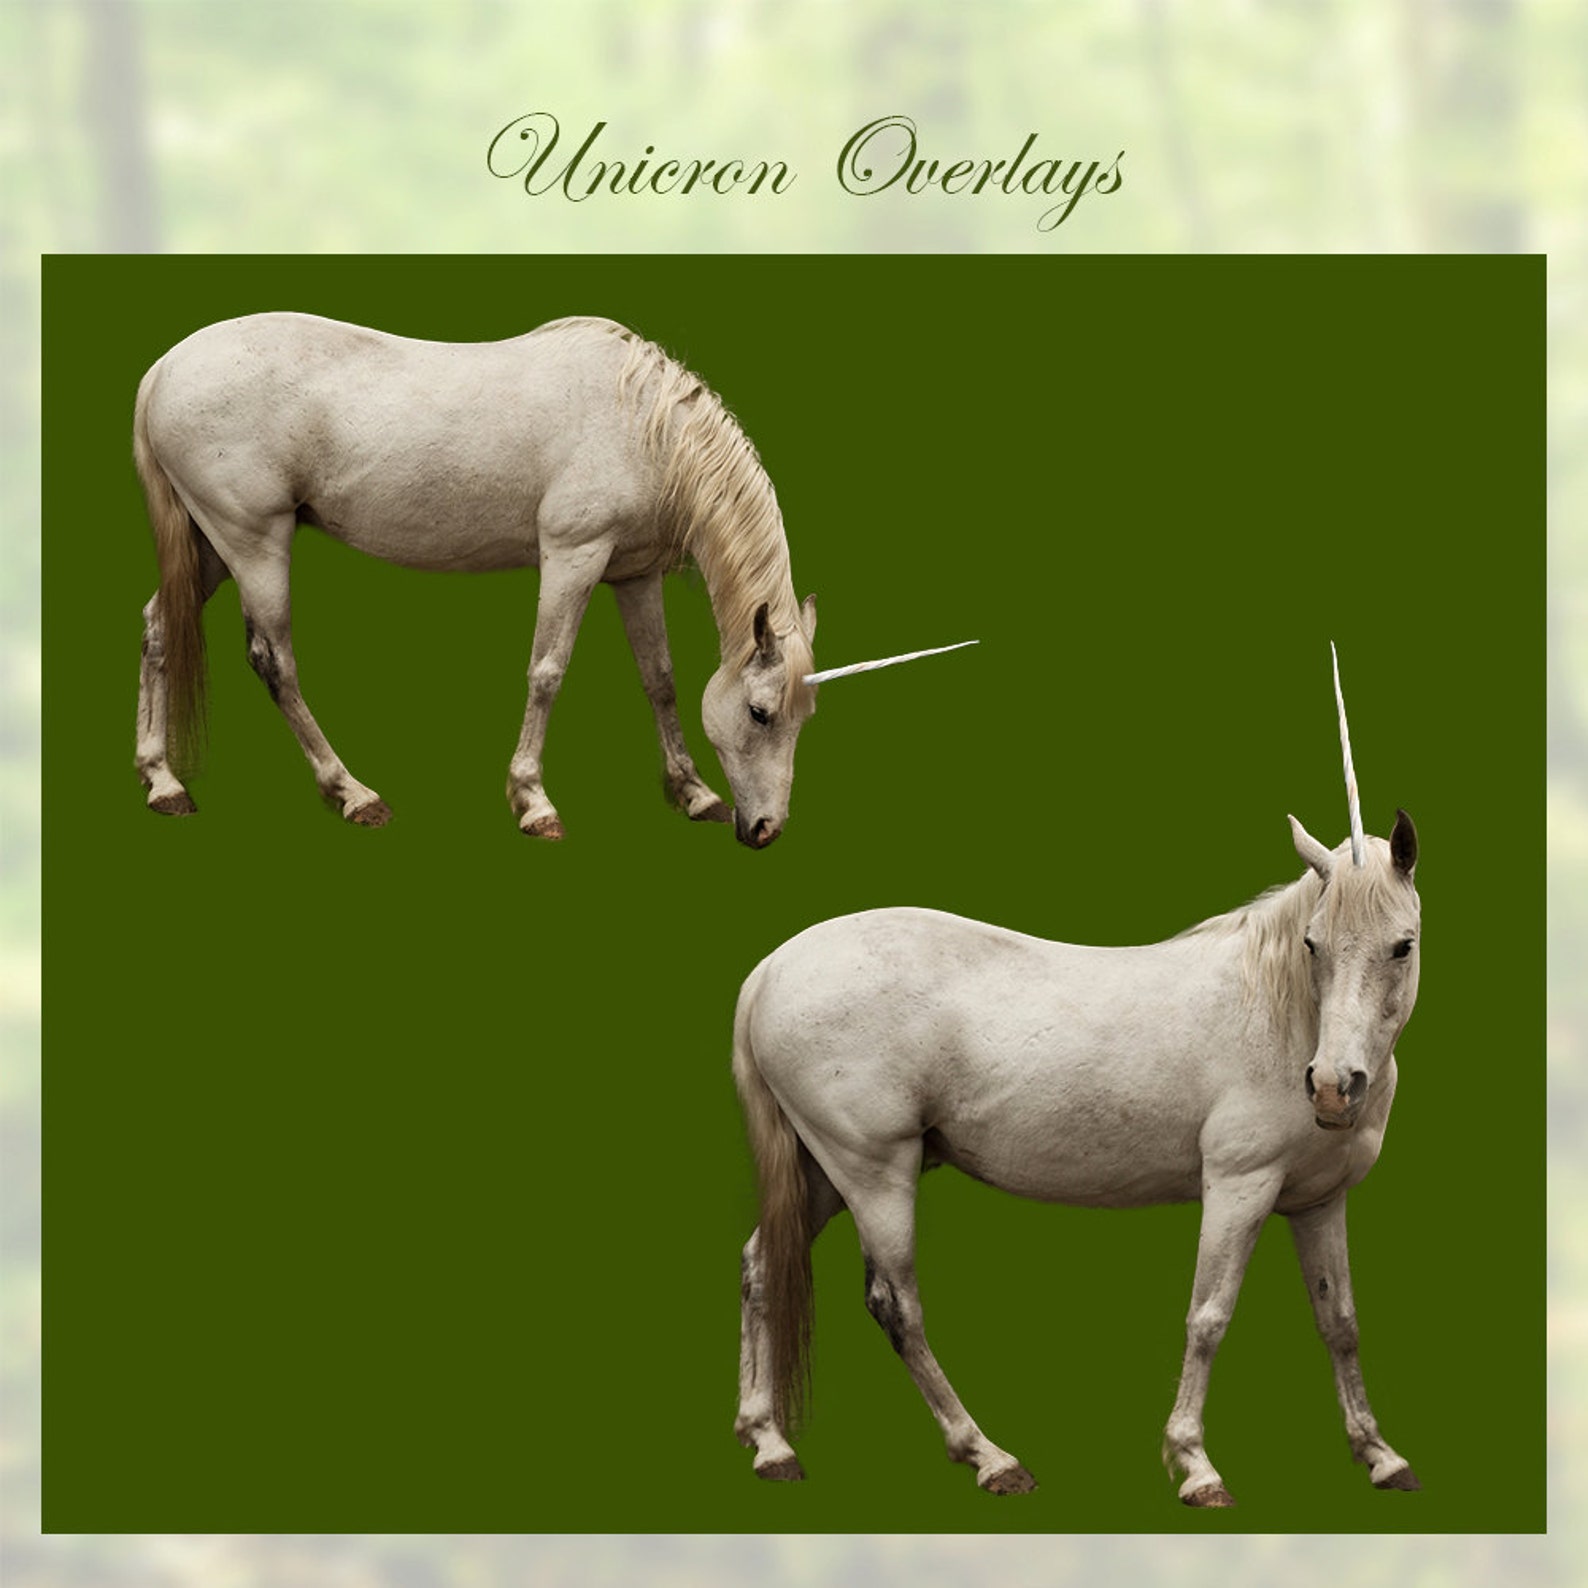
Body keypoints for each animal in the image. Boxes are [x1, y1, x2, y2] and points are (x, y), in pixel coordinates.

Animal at [132, 312, 967, 845]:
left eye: (803, 719)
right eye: (761, 713)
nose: (764, 831)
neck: (643, 424)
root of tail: (163, 369)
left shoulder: (632, 575)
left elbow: (660, 678)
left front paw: (691, 792)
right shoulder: (573, 554)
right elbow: (547, 671)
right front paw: (533, 803)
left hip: (210, 548)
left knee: (157, 631)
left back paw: (162, 781)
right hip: (255, 543)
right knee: (274, 661)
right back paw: (353, 793)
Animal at [733, 650, 1423, 1505]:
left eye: (1401, 944)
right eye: (1313, 943)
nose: (1332, 1087)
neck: (1279, 1015)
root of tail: (772, 968)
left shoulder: (1318, 1202)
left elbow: (1341, 1323)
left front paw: (1379, 1454)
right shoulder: (1240, 1186)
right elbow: (1209, 1315)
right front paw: (1195, 1465)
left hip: (821, 1171)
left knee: (762, 1268)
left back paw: (768, 1442)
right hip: (873, 1171)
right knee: (897, 1305)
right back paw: (989, 1456)